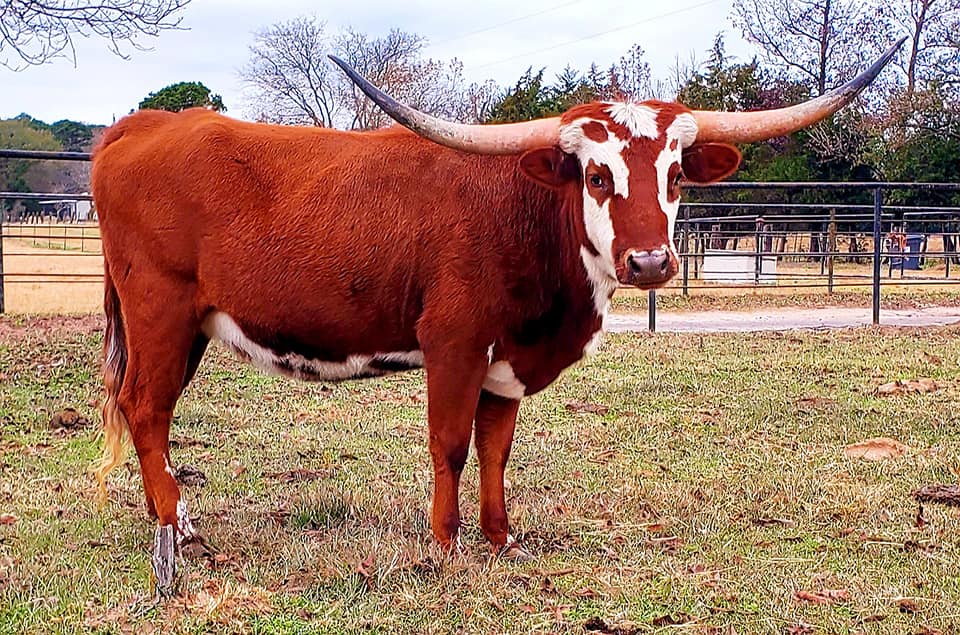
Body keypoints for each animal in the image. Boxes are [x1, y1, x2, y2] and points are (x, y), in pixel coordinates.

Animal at [90, 40, 902, 596]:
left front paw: (500, 537)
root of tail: (143, 124)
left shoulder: (506, 360)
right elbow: (451, 444)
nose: (649, 263)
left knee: (149, 410)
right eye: (597, 175)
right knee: (145, 406)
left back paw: (174, 519)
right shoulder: (454, 344)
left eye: (674, 175)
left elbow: (497, 448)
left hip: (190, 325)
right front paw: (445, 545)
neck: (525, 217)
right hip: (160, 309)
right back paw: (175, 527)